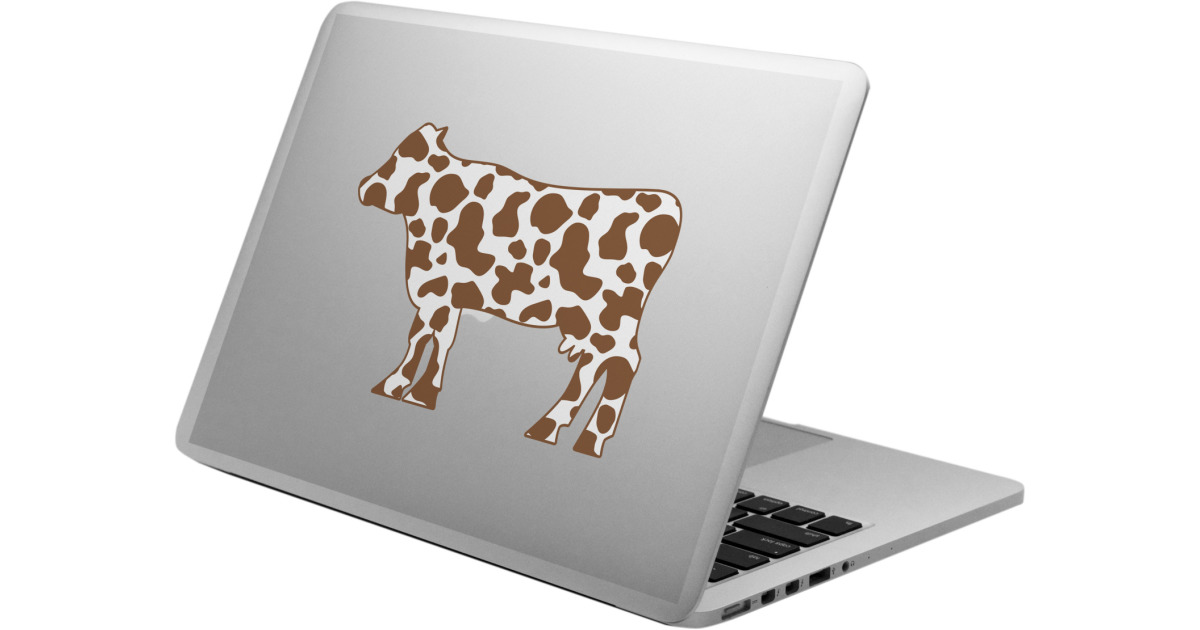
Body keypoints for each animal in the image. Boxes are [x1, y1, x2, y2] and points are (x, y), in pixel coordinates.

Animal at [357, 123, 681, 458]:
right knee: (605, 362)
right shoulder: (442, 293)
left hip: (608, 316)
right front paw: (407, 389)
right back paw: (568, 434)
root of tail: (665, 201)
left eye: (402, 154)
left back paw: (571, 434)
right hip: (593, 319)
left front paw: (410, 390)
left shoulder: (440, 290)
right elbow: (429, 336)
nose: (364, 186)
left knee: (616, 362)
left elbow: (429, 337)